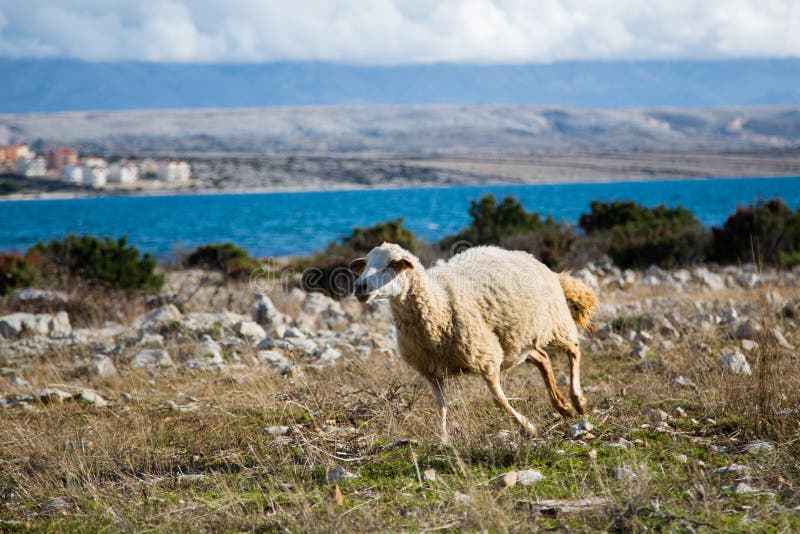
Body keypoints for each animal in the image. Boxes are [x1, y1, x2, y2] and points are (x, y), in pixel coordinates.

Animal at [350, 242, 597, 443]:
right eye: (366, 264)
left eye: (394, 264)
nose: (360, 287)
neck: (440, 301)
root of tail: (529, 256)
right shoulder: (430, 371)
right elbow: (441, 406)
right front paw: (443, 438)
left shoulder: (486, 357)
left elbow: (499, 400)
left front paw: (527, 427)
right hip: (516, 342)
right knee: (543, 358)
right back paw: (562, 406)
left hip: (556, 322)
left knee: (574, 350)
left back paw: (577, 400)